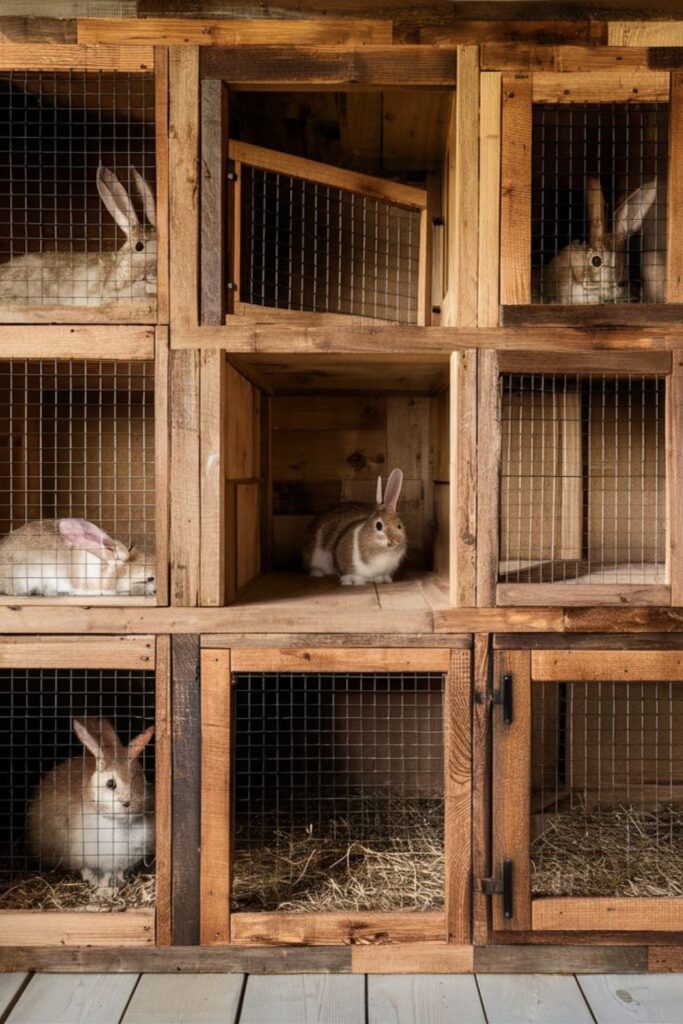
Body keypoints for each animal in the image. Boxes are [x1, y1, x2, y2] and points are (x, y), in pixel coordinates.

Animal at [28, 717, 155, 890]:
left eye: (143, 780)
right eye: (110, 784)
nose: (131, 805)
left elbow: (117, 871)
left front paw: (119, 881)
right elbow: (88, 869)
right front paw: (100, 884)